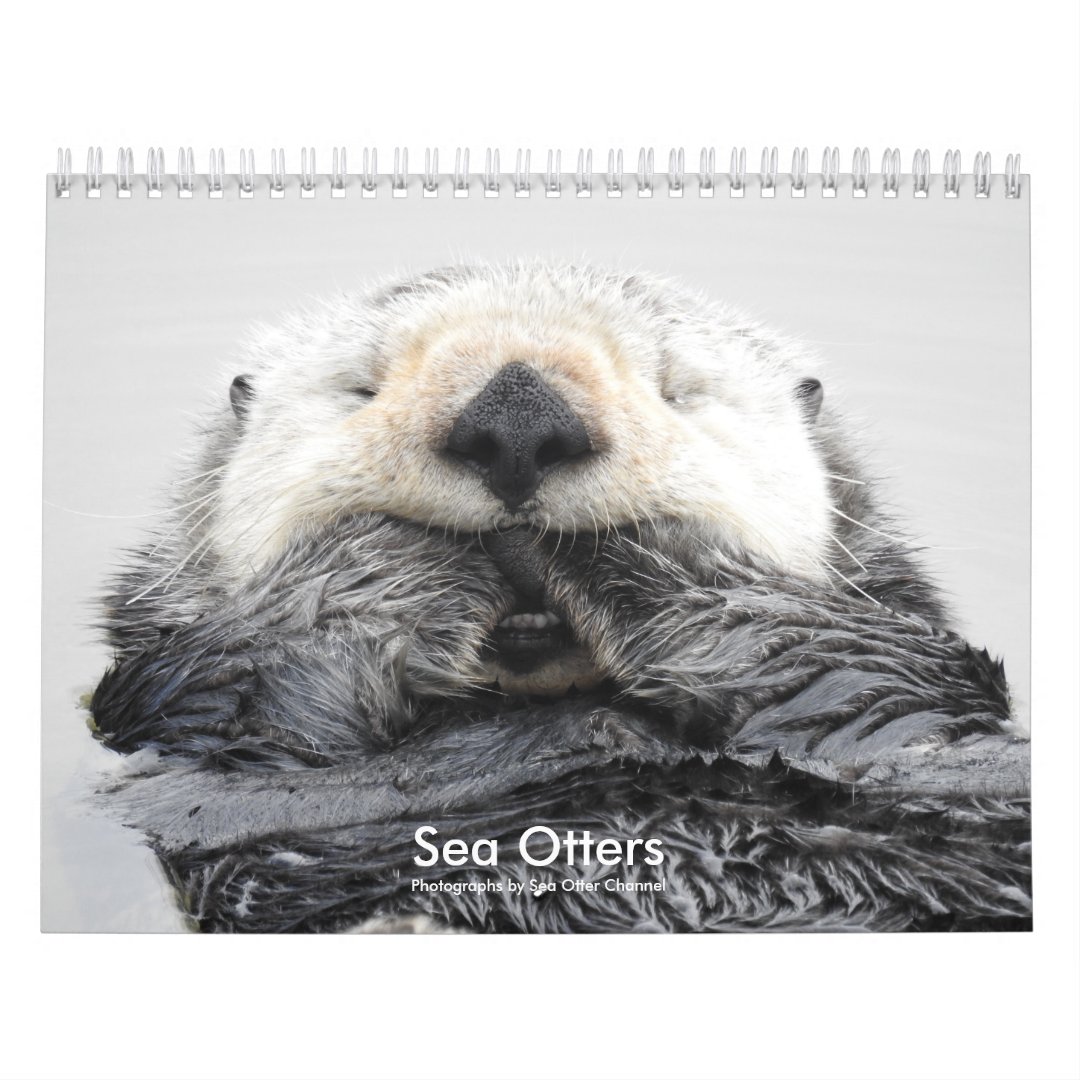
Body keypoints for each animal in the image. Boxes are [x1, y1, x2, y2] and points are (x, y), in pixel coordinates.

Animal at [90, 262, 1028, 931]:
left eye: (681, 389)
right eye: (359, 386)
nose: (516, 414)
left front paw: (662, 553)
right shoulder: (195, 772)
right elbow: (245, 718)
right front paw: (379, 558)